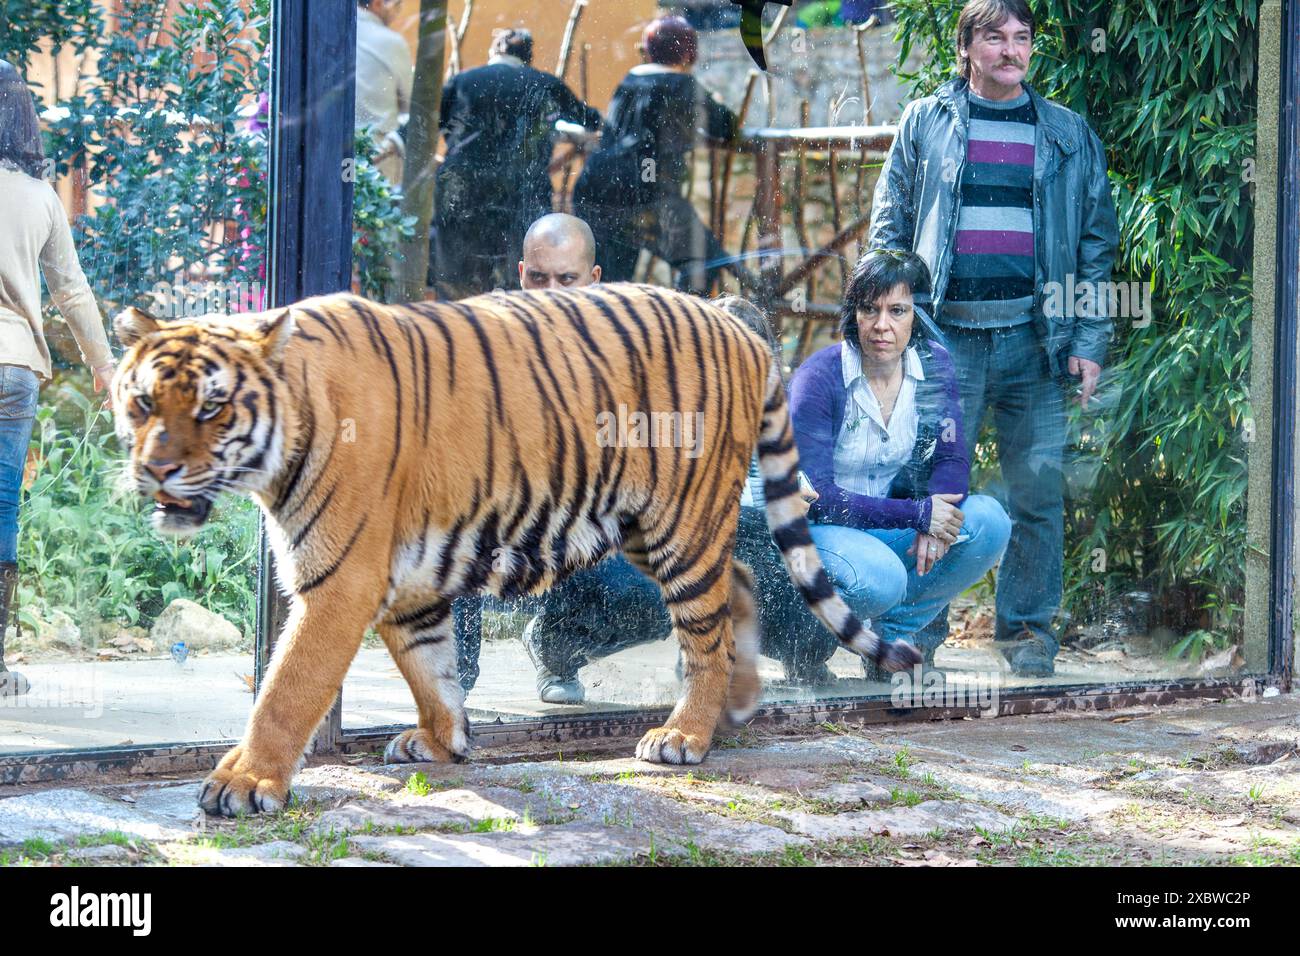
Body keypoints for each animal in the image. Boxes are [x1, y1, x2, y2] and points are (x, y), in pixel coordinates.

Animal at [111, 283, 922, 816]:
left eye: (212, 406)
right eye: (144, 401)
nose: (156, 468)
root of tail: (743, 328)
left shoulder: (341, 579)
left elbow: (287, 690)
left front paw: (244, 783)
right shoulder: (407, 582)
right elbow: (431, 669)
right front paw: (441, 743)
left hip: (680, 524)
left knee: (706, 627)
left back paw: (684, 734)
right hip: (645, 527)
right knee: (742, 585)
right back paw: (735, 707)